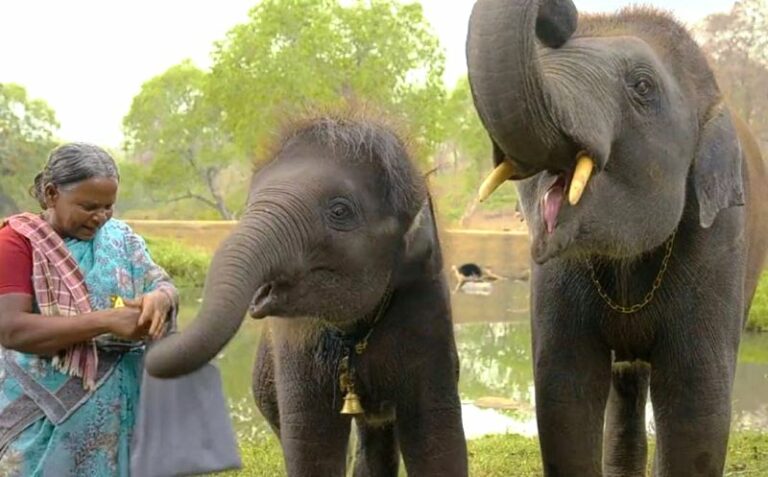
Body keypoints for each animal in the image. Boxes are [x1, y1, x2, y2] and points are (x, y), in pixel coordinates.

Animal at [144, 114, 469, 477]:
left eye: (340, 211)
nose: (158, 319)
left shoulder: (426, 306)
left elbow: (436, 436)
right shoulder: (296, 341)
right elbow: (311, 441)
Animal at [467, 0, 768, 476]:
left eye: (642, 86)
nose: (559, 18)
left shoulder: (718, 239)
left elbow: (696, 403)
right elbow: (565, 391)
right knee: (625, 387)